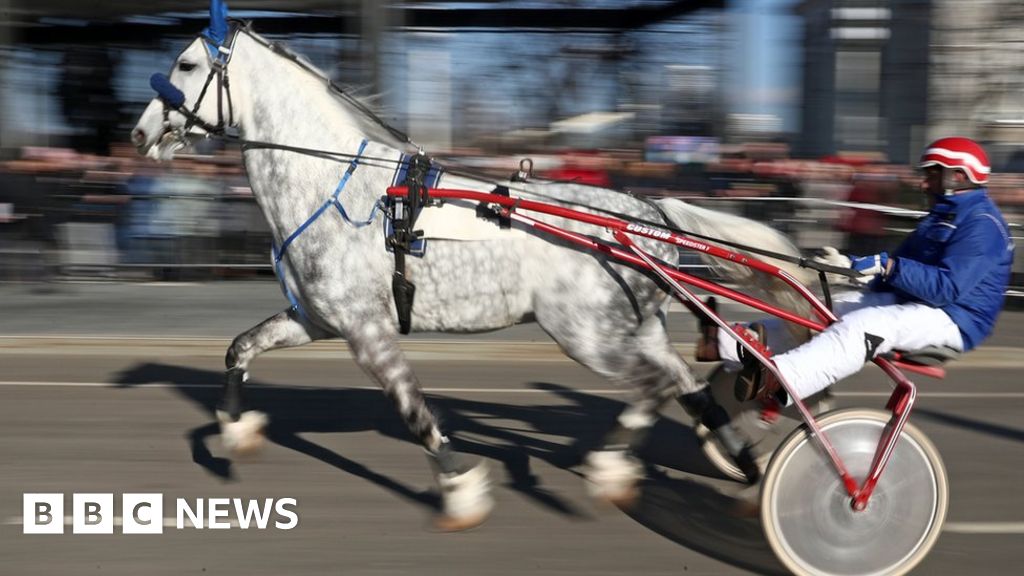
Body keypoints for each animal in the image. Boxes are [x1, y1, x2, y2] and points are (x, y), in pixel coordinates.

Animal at [131, 7, 814, 530]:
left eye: (186, 65)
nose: (139, 133)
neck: (336, 185)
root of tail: (650, 215)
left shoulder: (366, 330)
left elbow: (412, 408)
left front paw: (460, 491)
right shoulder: (318, 319)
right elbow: (239, 350)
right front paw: (235, 435)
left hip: (586, 335)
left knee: (655, 385)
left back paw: (611, 473)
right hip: (632, 329)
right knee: (685, 384)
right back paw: (744, 465)